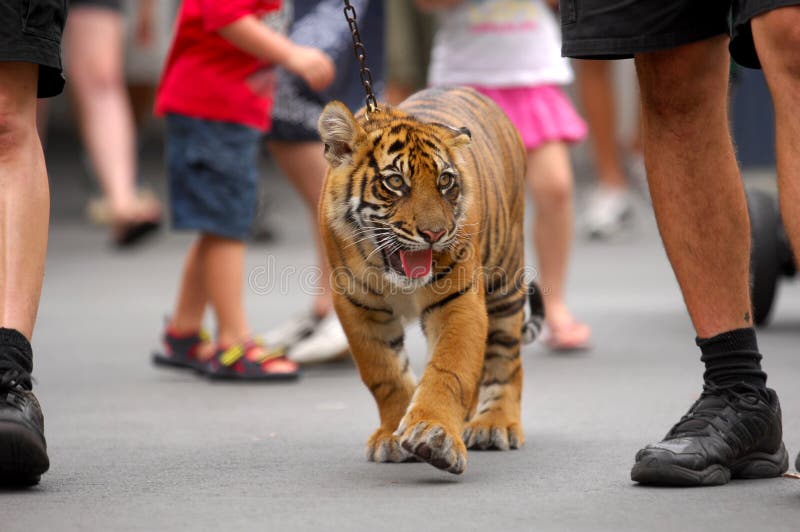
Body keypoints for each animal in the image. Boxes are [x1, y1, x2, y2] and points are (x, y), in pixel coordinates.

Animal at [317, 86, 544, 475]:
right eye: (395, 182)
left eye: (445, 181)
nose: (435, 234)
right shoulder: (357, 306)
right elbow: (385, 374)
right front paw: (393, 435)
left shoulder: (459, 301)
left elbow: (449, 370)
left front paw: (434, 434)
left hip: (505, 280)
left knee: (505, 359)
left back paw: (495, 424)